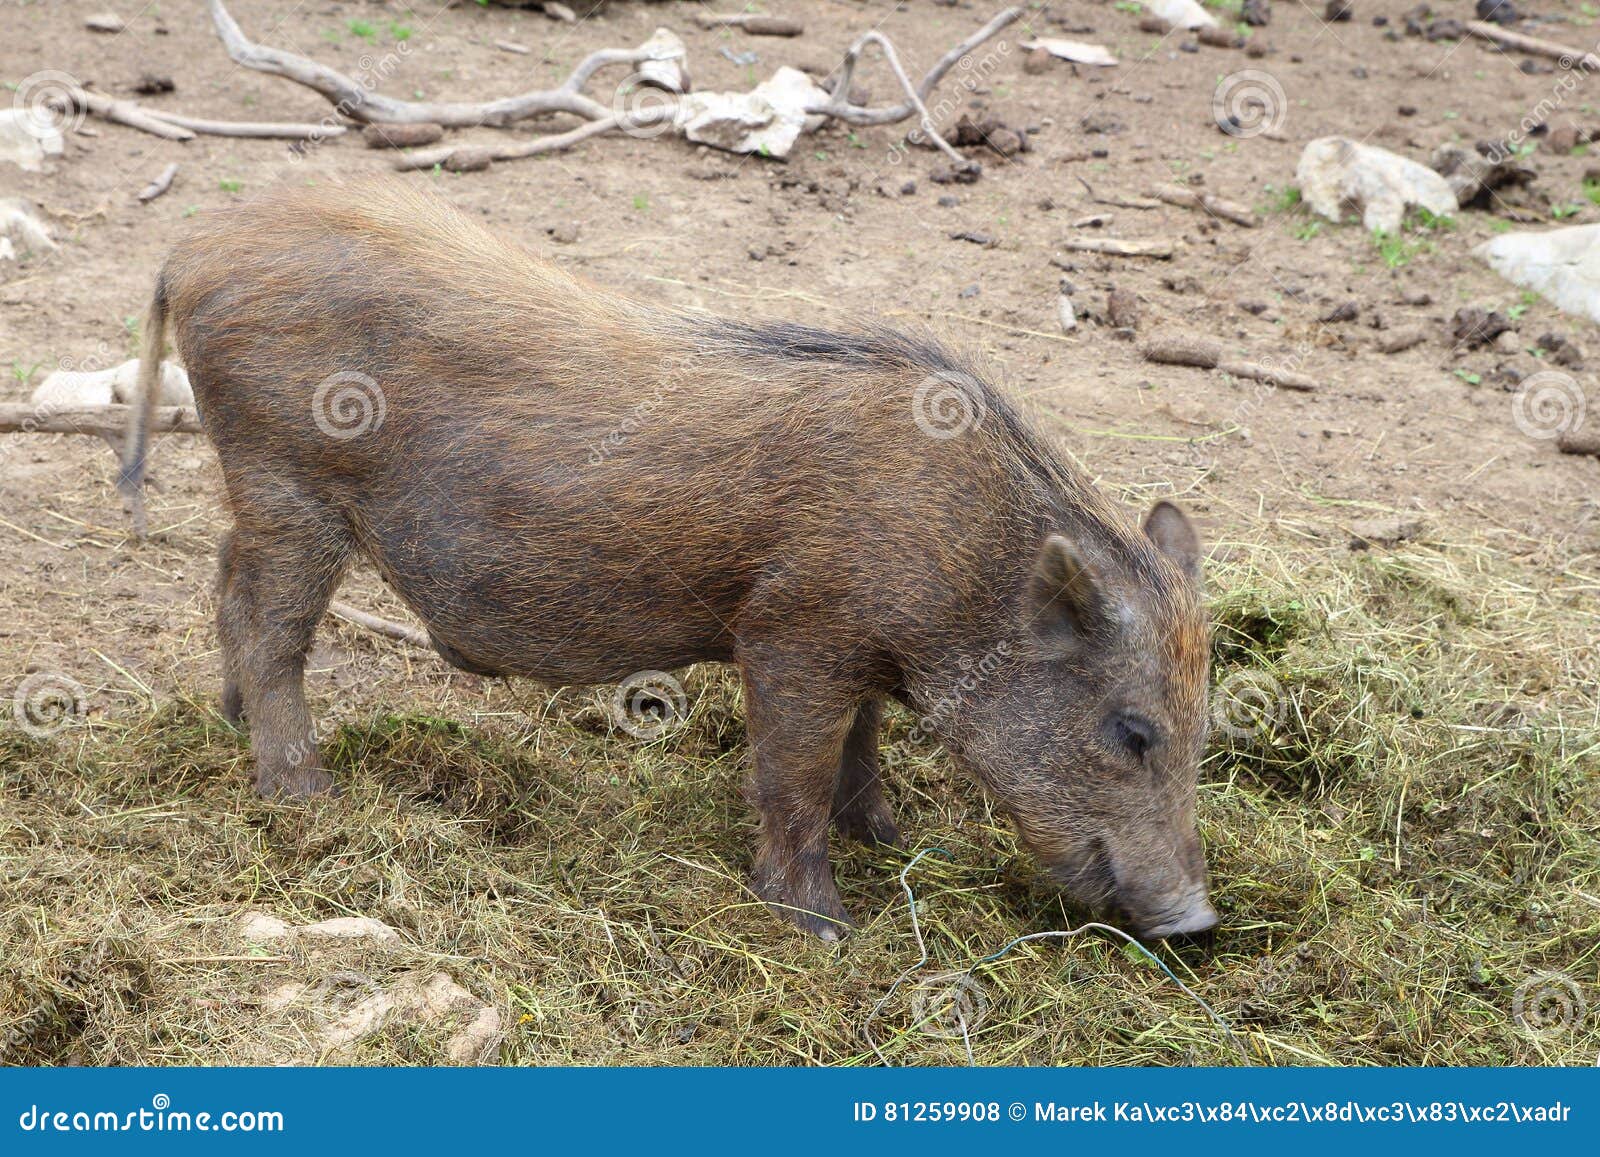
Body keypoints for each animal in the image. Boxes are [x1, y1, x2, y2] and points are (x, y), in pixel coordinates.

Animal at [119, 179, 1217, 942]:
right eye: (1131, 731)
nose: (1197, 921)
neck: (963, 551)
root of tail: (191, 246)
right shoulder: (790, 634)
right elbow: (794, 776)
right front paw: (826, 929)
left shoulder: (858, 649)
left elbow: (861, 751)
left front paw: (900, 841)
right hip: (287, 483)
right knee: (267, 626)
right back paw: (306, 796)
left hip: (260, 492)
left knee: (224, 579)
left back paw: (236, 729)